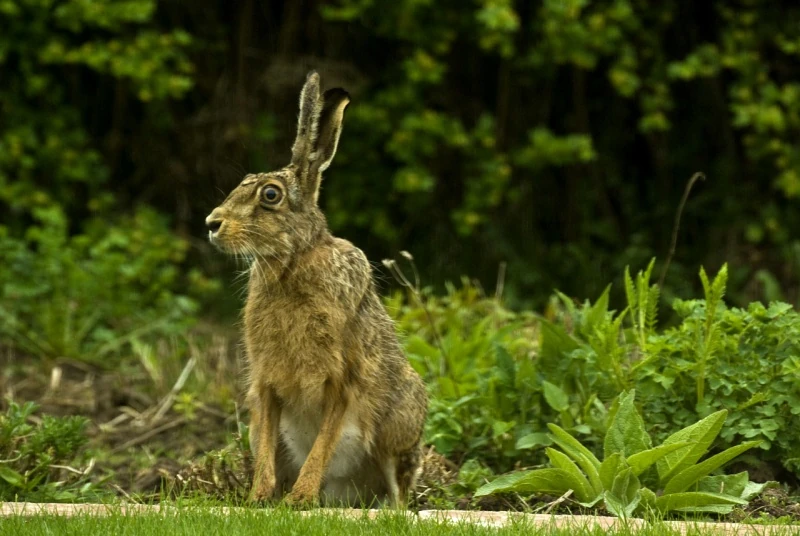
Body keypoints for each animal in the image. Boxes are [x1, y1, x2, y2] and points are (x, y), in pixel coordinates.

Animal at [205, 71, 428, 507]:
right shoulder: (267, 382)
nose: (212, 224)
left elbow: (324, 442)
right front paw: (261, 498)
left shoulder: (341, 379)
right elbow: (268, 444)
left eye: (270, 195)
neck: (294, 261)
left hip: (399, 425)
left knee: (400, 489)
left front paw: (299, 500)